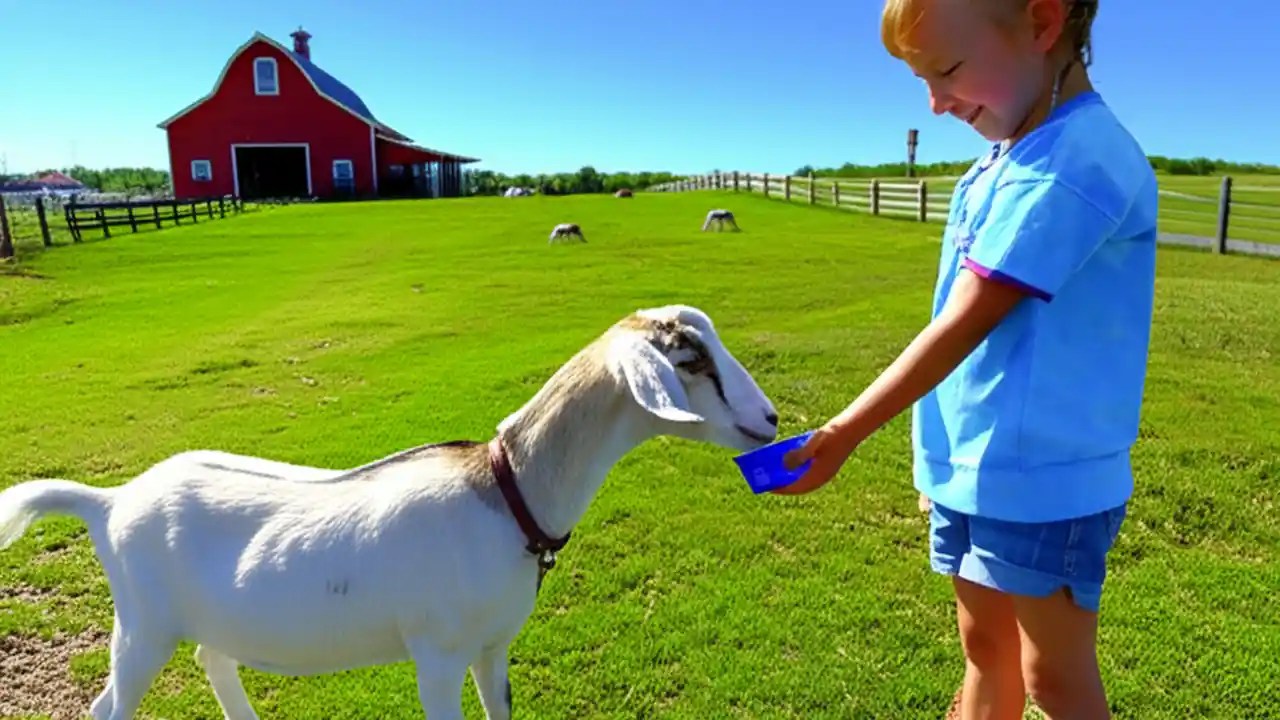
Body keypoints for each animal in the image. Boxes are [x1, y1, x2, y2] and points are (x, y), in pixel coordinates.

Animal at [0, 305, 779, 720]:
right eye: (690, 360)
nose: (769, 419)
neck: (507, 490)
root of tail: (109, 502)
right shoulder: (436, 655)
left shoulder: (493, 646)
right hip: (141, 625)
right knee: (109, 706)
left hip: (201, 618)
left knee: (212, 657)